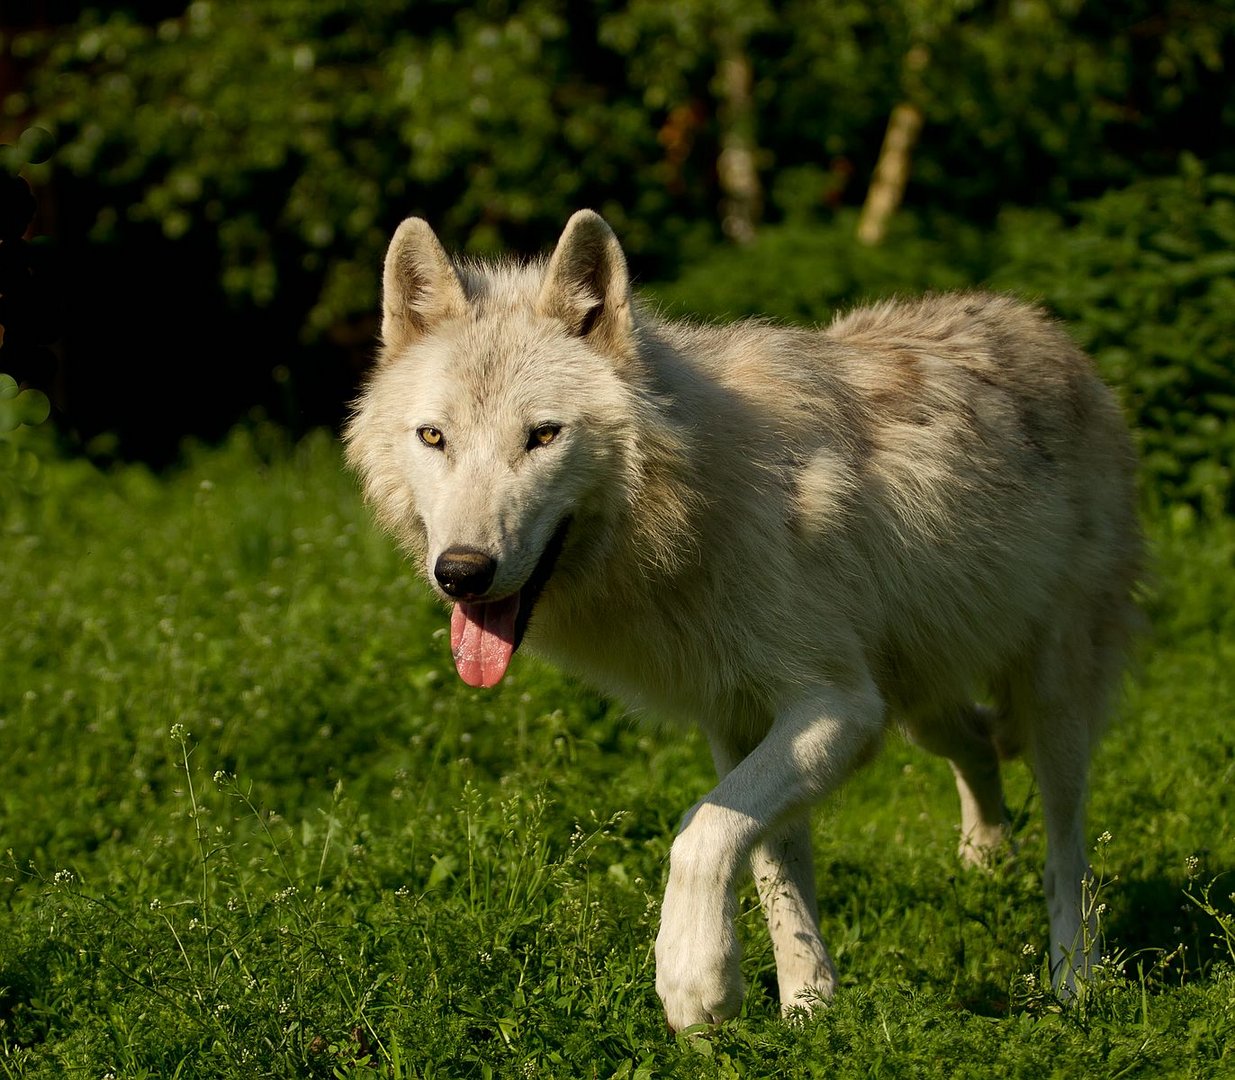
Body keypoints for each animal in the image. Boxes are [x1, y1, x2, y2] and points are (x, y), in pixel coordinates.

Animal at [344, 210, 1141, 1031]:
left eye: (543, 435)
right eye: (433, 437)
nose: (461, 572)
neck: (690, 514)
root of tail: (1043, 325)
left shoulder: (838, 708)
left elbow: (702, 833)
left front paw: (695, 981)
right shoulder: (738, 721)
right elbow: (769, 863)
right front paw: (808, 1006)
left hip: (1046, 702)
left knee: (1068, 851)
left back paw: (1074, 981)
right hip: (919, 701)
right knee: (979, 743)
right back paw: (985, 862)